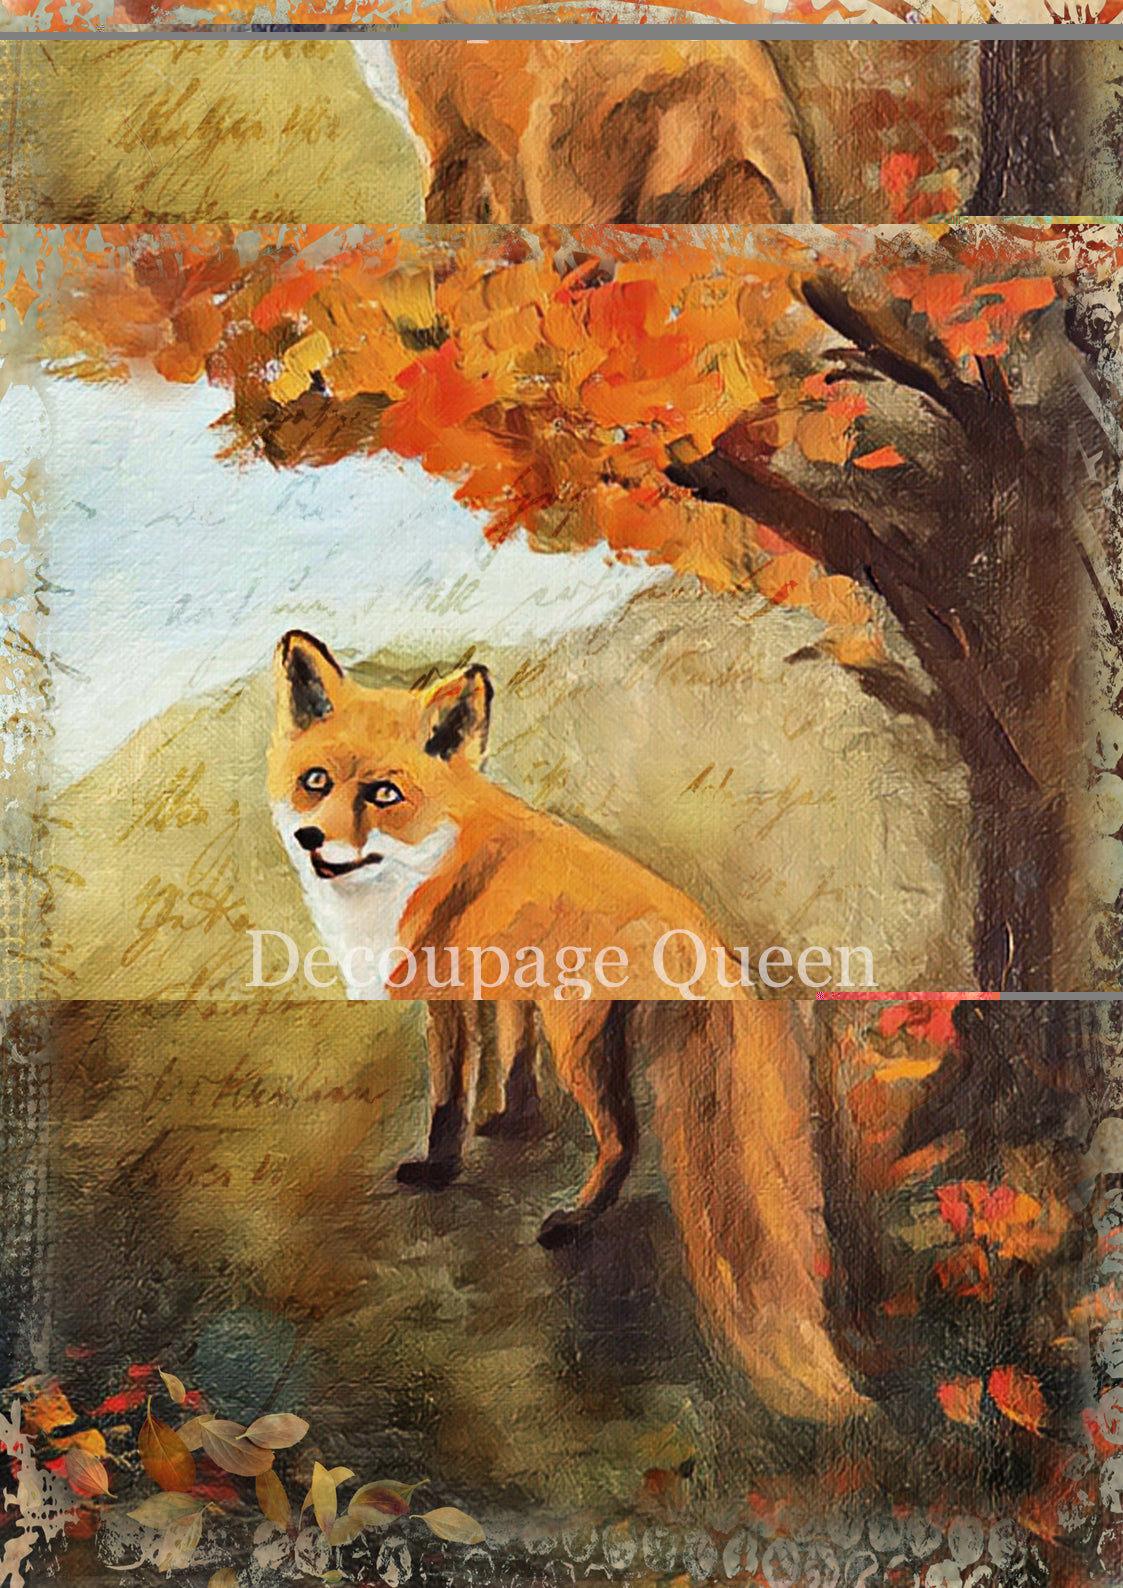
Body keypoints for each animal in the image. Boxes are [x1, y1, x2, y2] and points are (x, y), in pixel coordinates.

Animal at [267, 630, 866, 1422]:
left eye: (383, 794)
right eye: (315, 782)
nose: (311, 838)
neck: (430, 861)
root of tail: (702, 940)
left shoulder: (449, 998)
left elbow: (446, 1095)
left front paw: (439, 1166)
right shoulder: (506, 985)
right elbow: (512, 1060)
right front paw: (510, 1120)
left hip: (579, 1043)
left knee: (622, 1137)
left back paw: (574, 1224)